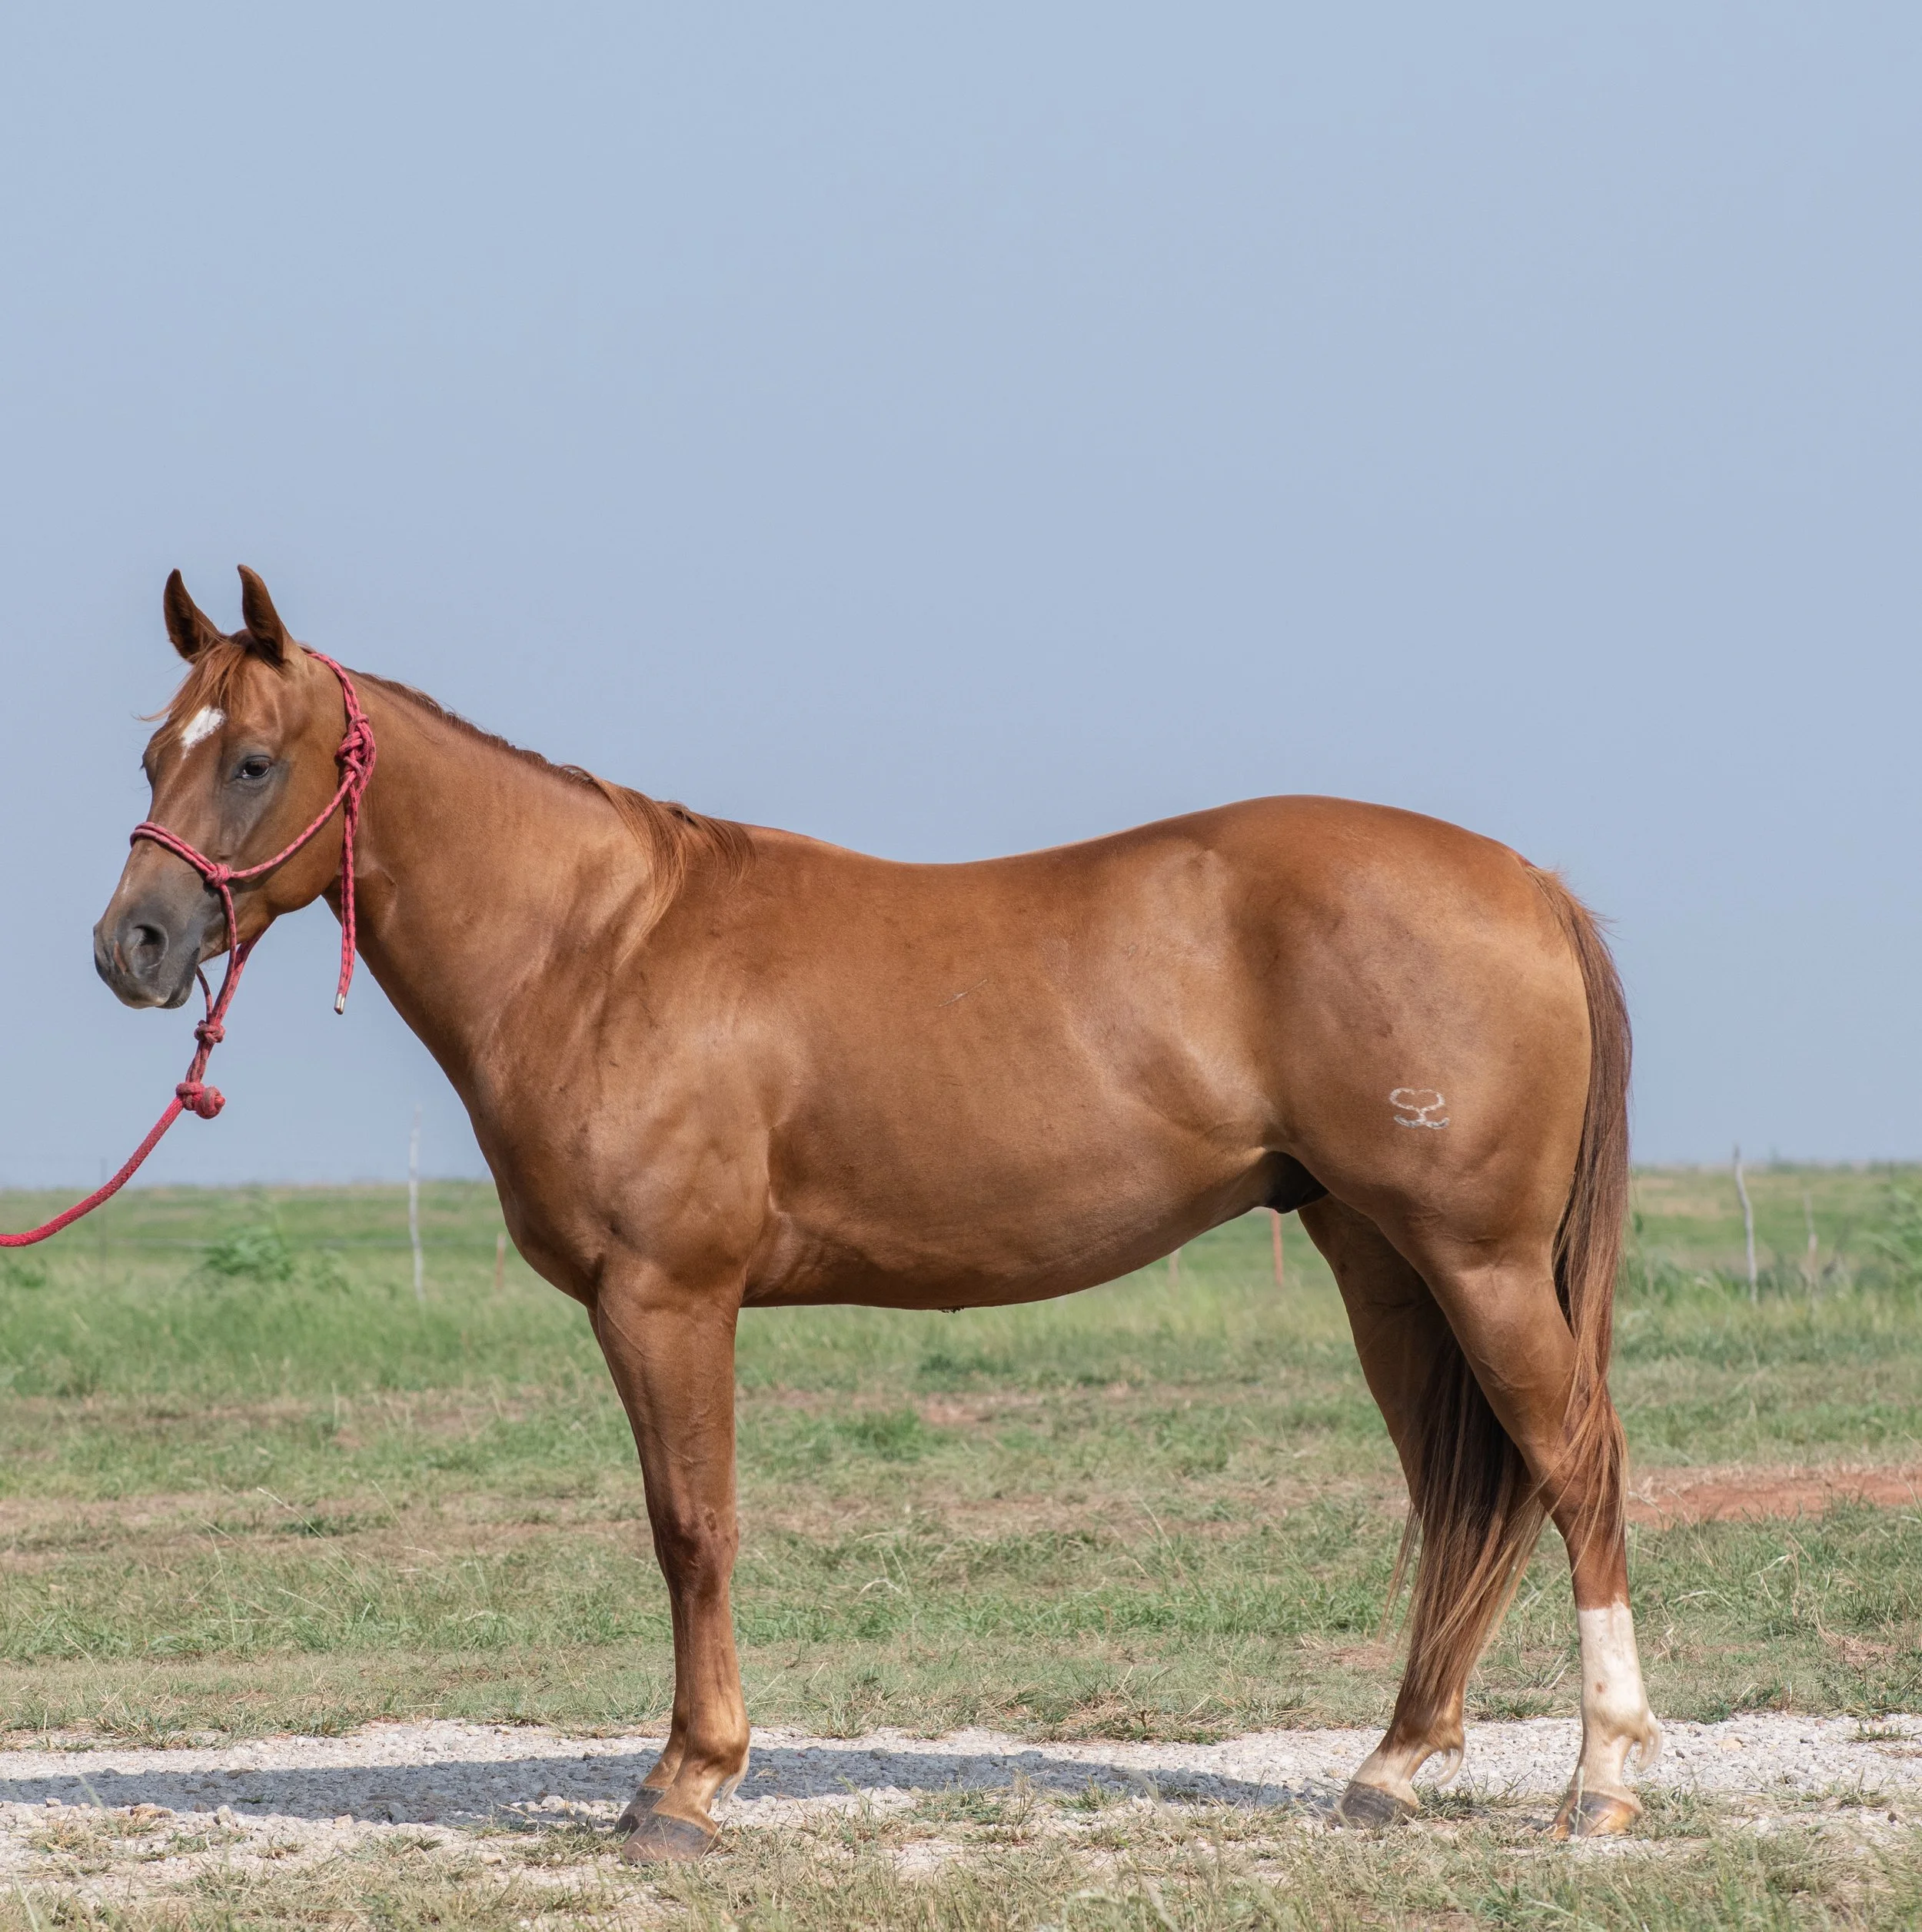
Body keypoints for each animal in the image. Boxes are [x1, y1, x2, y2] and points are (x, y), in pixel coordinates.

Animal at [93, 567, 1660, 1860]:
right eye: (155, 751)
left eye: (252, 759)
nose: (133, 945)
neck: (598, 950)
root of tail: (1525, 880)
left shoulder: (667, 1296)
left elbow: (692, 1525)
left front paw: (686, 1785)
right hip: (1381, 1262)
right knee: (1461, 1494)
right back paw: (1393, 1767)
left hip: (1478, 1259)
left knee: (1575, 1463)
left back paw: (1602, 1780)